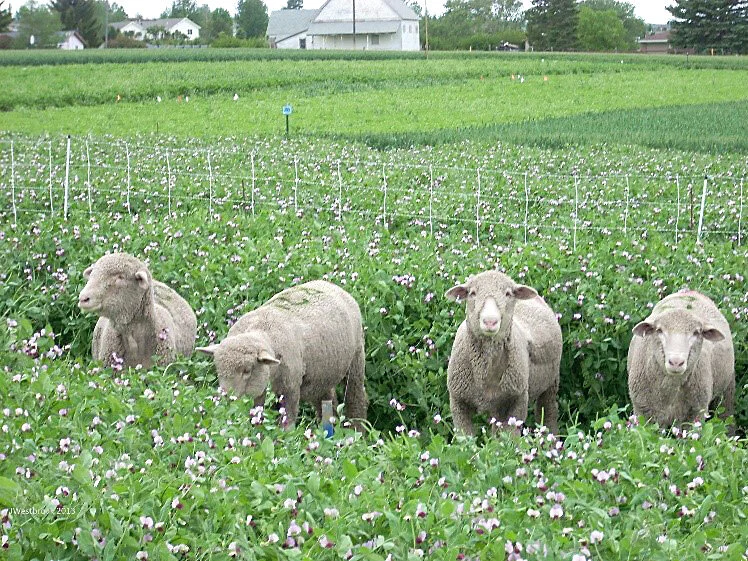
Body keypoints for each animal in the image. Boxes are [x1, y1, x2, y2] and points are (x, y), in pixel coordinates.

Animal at [196, 280, 368, 430]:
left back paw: (357, 432)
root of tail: (329, 283)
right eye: (219, 371)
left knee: (356, 398)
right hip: (321, 374)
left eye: (247, 371)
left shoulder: (289, 388)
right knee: (326, 400)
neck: (261, 329)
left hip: (356, 358)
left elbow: (287, 423)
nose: (225, 399)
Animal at [445, 271, 562, 436]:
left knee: (548, 411)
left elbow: (510, 438)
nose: (490, 321)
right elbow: (466, 437)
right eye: (472, 293)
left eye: (507, 294)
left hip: (551, 383)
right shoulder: (458, 402)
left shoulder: (517, 400)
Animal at [627, 290, 735, 429]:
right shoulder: (642, 412)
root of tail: (690, 291)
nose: (676, 362)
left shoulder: (696, 414)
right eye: (659, 330)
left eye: (696, 333)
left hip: (727, 389)